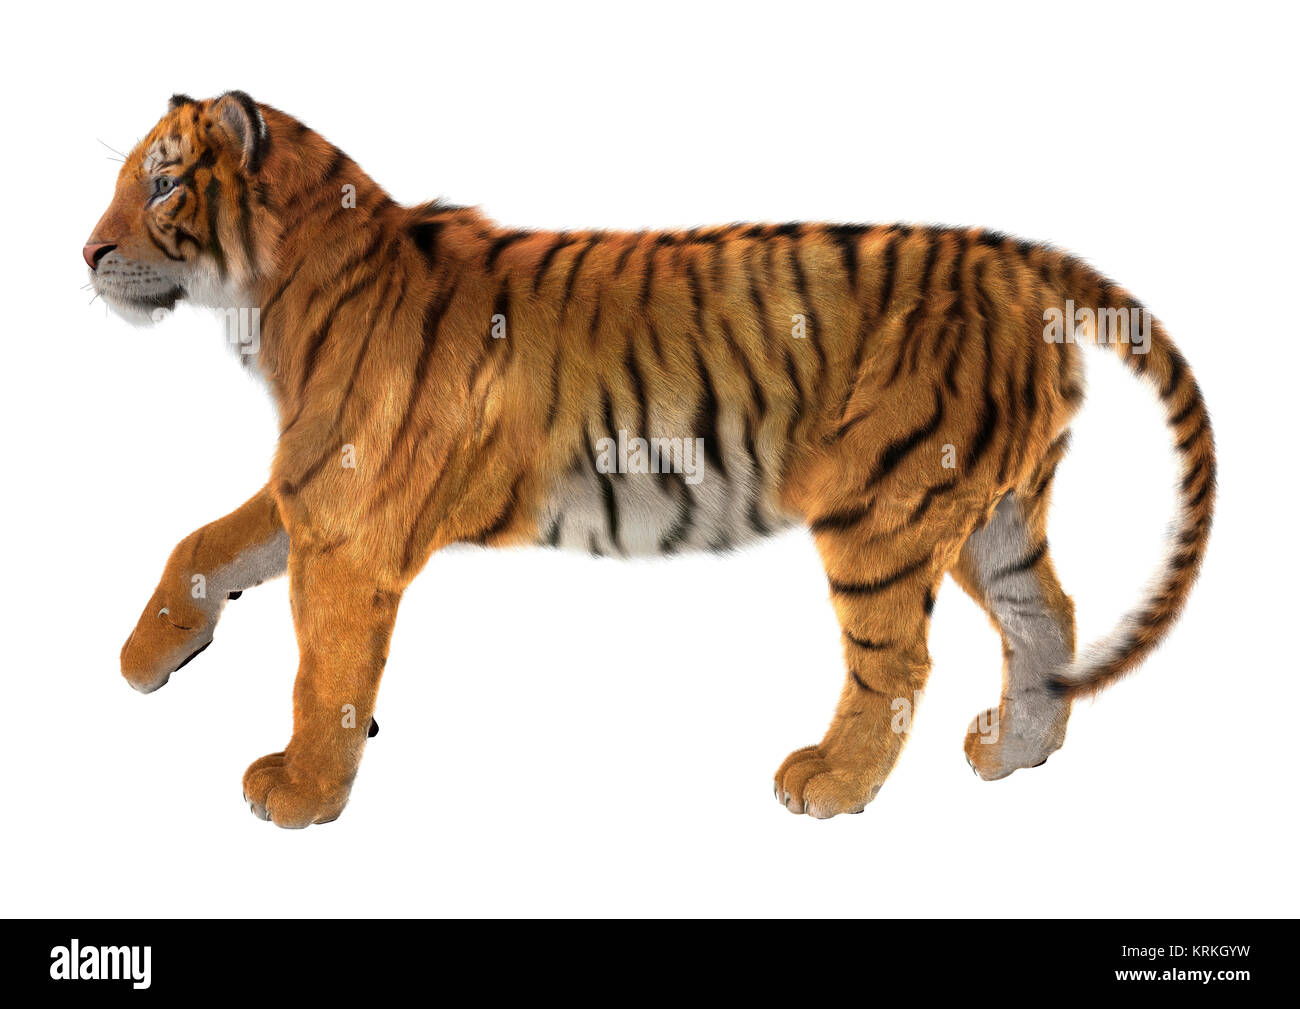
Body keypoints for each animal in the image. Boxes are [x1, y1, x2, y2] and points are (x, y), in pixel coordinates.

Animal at [89, 92, 1216, 827]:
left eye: (164, 184)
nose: (86, 253)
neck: (266, 297)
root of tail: (1017, 260)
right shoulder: (315, 488)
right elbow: (204, 543)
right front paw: (146, 658)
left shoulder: (351, 522)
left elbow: (323, 668)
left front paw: (301, 793)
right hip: (991, 509)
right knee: (1046, 615)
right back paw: (1013, 755)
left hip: (884, 509)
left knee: (899, 661)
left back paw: (830, 783)